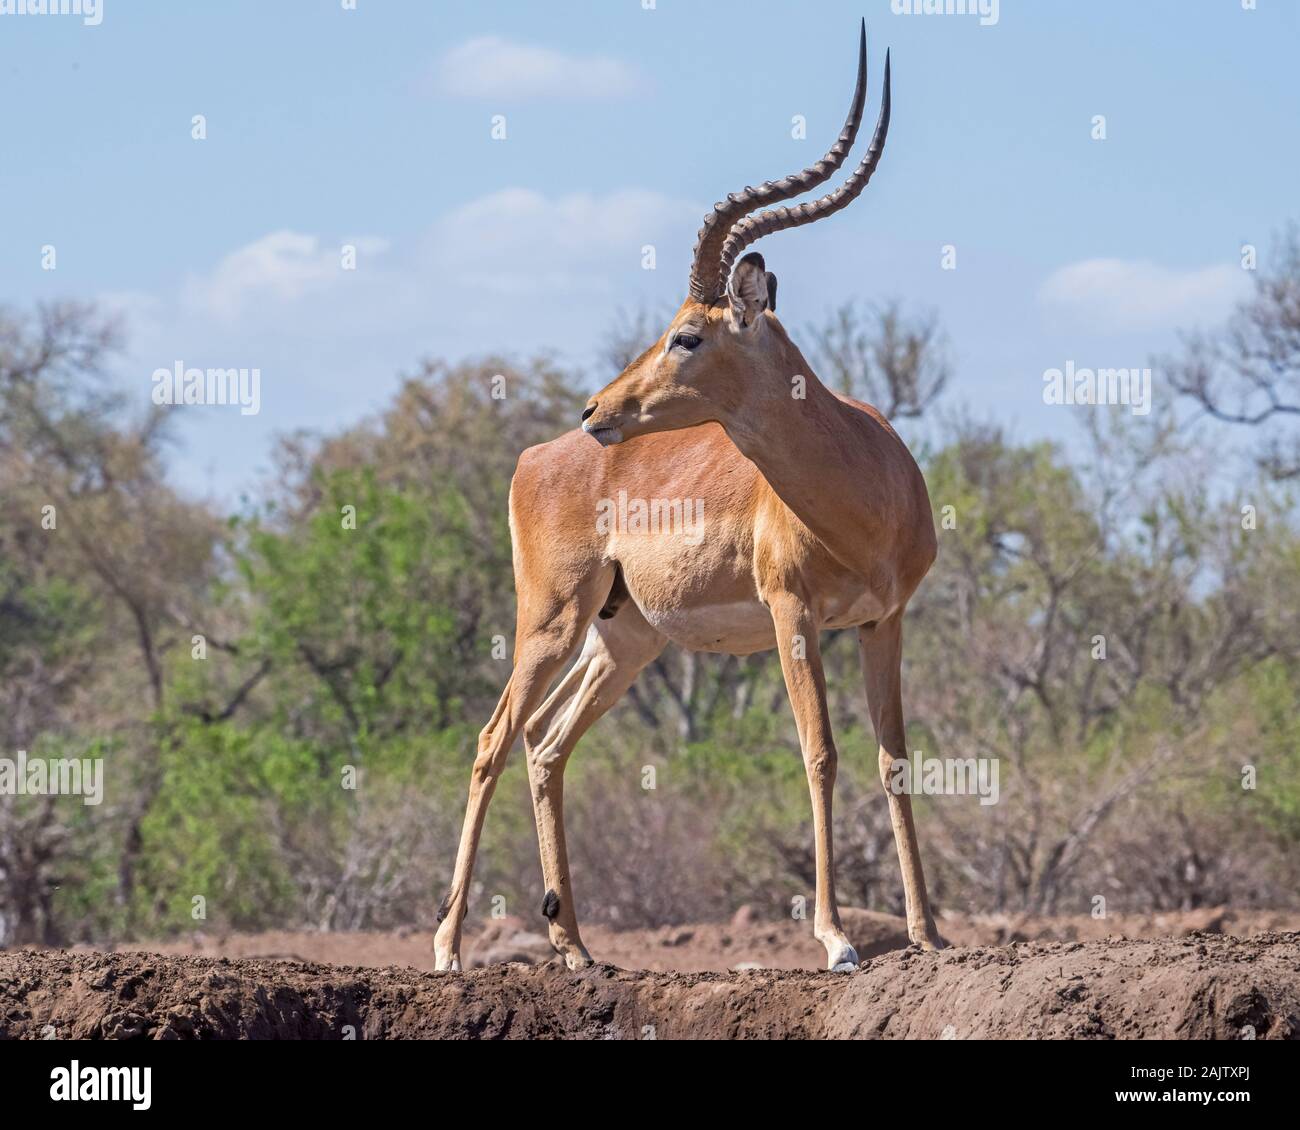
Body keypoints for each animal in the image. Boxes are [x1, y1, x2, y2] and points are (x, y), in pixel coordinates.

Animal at [434, 22, 943, 973]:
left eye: (687, 334)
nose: (597, 408)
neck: (863, 487)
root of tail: (534, 455)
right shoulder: (792, 612)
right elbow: (820, 753)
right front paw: (836, 940)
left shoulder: (882, 621)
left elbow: (894, 759)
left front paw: (930, 932)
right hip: (550, 620)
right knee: (492, 739)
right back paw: (447, 947)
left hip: (623, 639)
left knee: (544, 743)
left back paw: (576, 949)